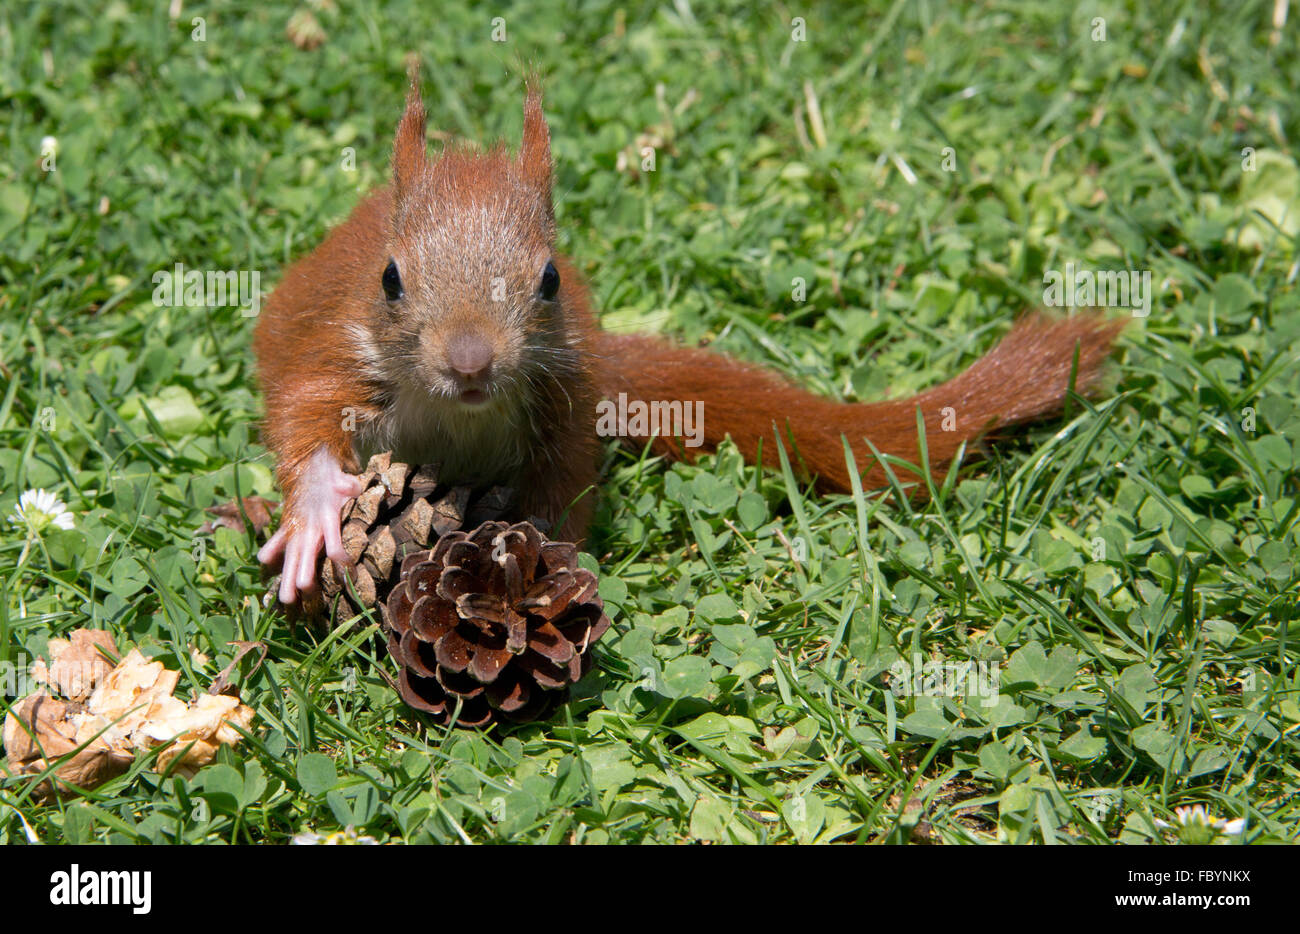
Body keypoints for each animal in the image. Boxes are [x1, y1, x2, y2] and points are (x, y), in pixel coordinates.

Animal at [253, 73, 1123, 604]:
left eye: (551, 280)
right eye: (390, 279)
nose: (471, 362)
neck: (458, 414)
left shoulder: (566, 395)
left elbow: (567, 487)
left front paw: (542, 570)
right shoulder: (339, 351)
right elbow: (304, 414)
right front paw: (316, 517)